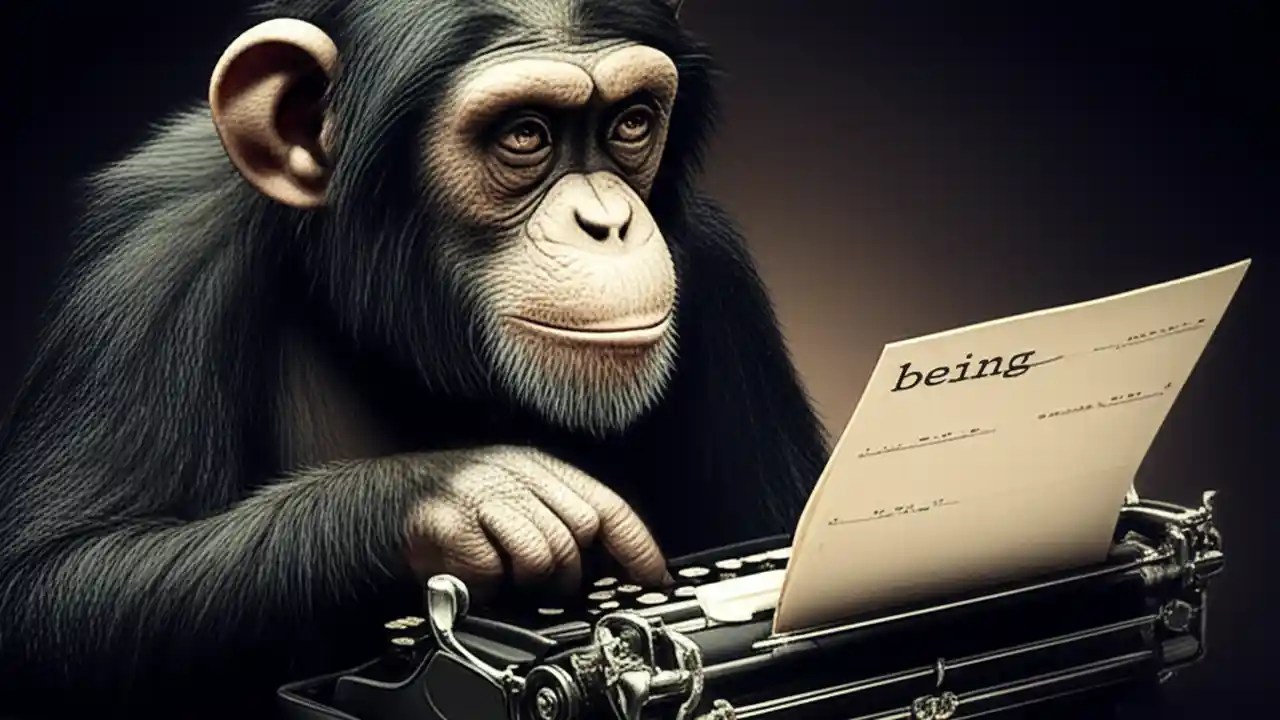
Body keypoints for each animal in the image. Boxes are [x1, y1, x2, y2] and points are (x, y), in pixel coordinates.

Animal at [0, 1, 829, 717]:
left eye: (631, 122)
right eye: (524, 135)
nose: (608, 222)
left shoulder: (718, 278)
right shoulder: (148, 272)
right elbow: (55, 585)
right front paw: (469, 492)